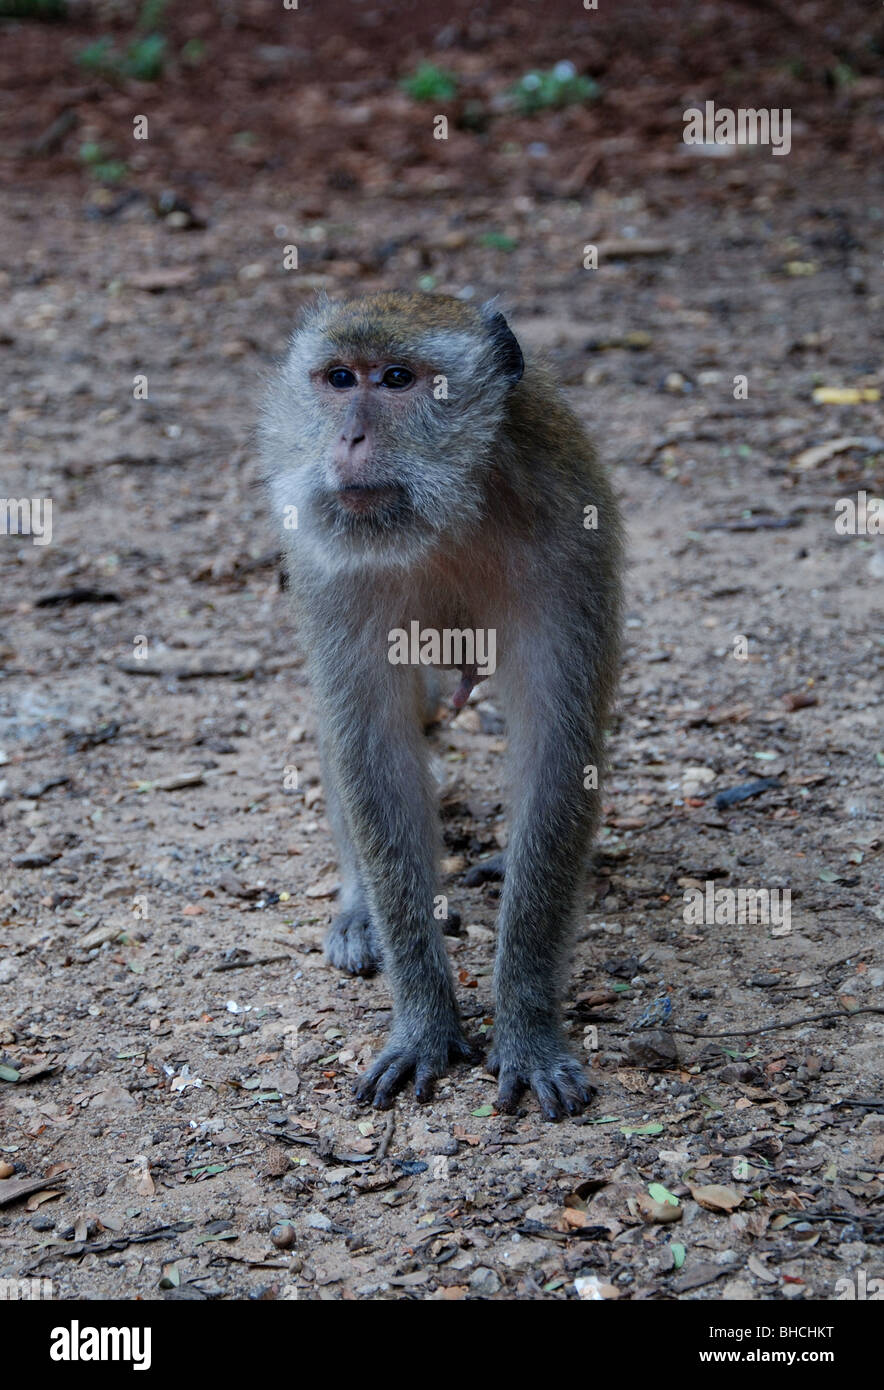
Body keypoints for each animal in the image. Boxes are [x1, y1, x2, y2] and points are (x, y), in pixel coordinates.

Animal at [259, 292, 623, 1121]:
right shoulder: (332, 564)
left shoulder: (571, 539)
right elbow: (373, 752)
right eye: (338, 378)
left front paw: (526, 1024)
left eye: (397, 379)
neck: (451, 511)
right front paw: (424, 1018)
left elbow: (559, 755)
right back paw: (361, 908)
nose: (350, 438)